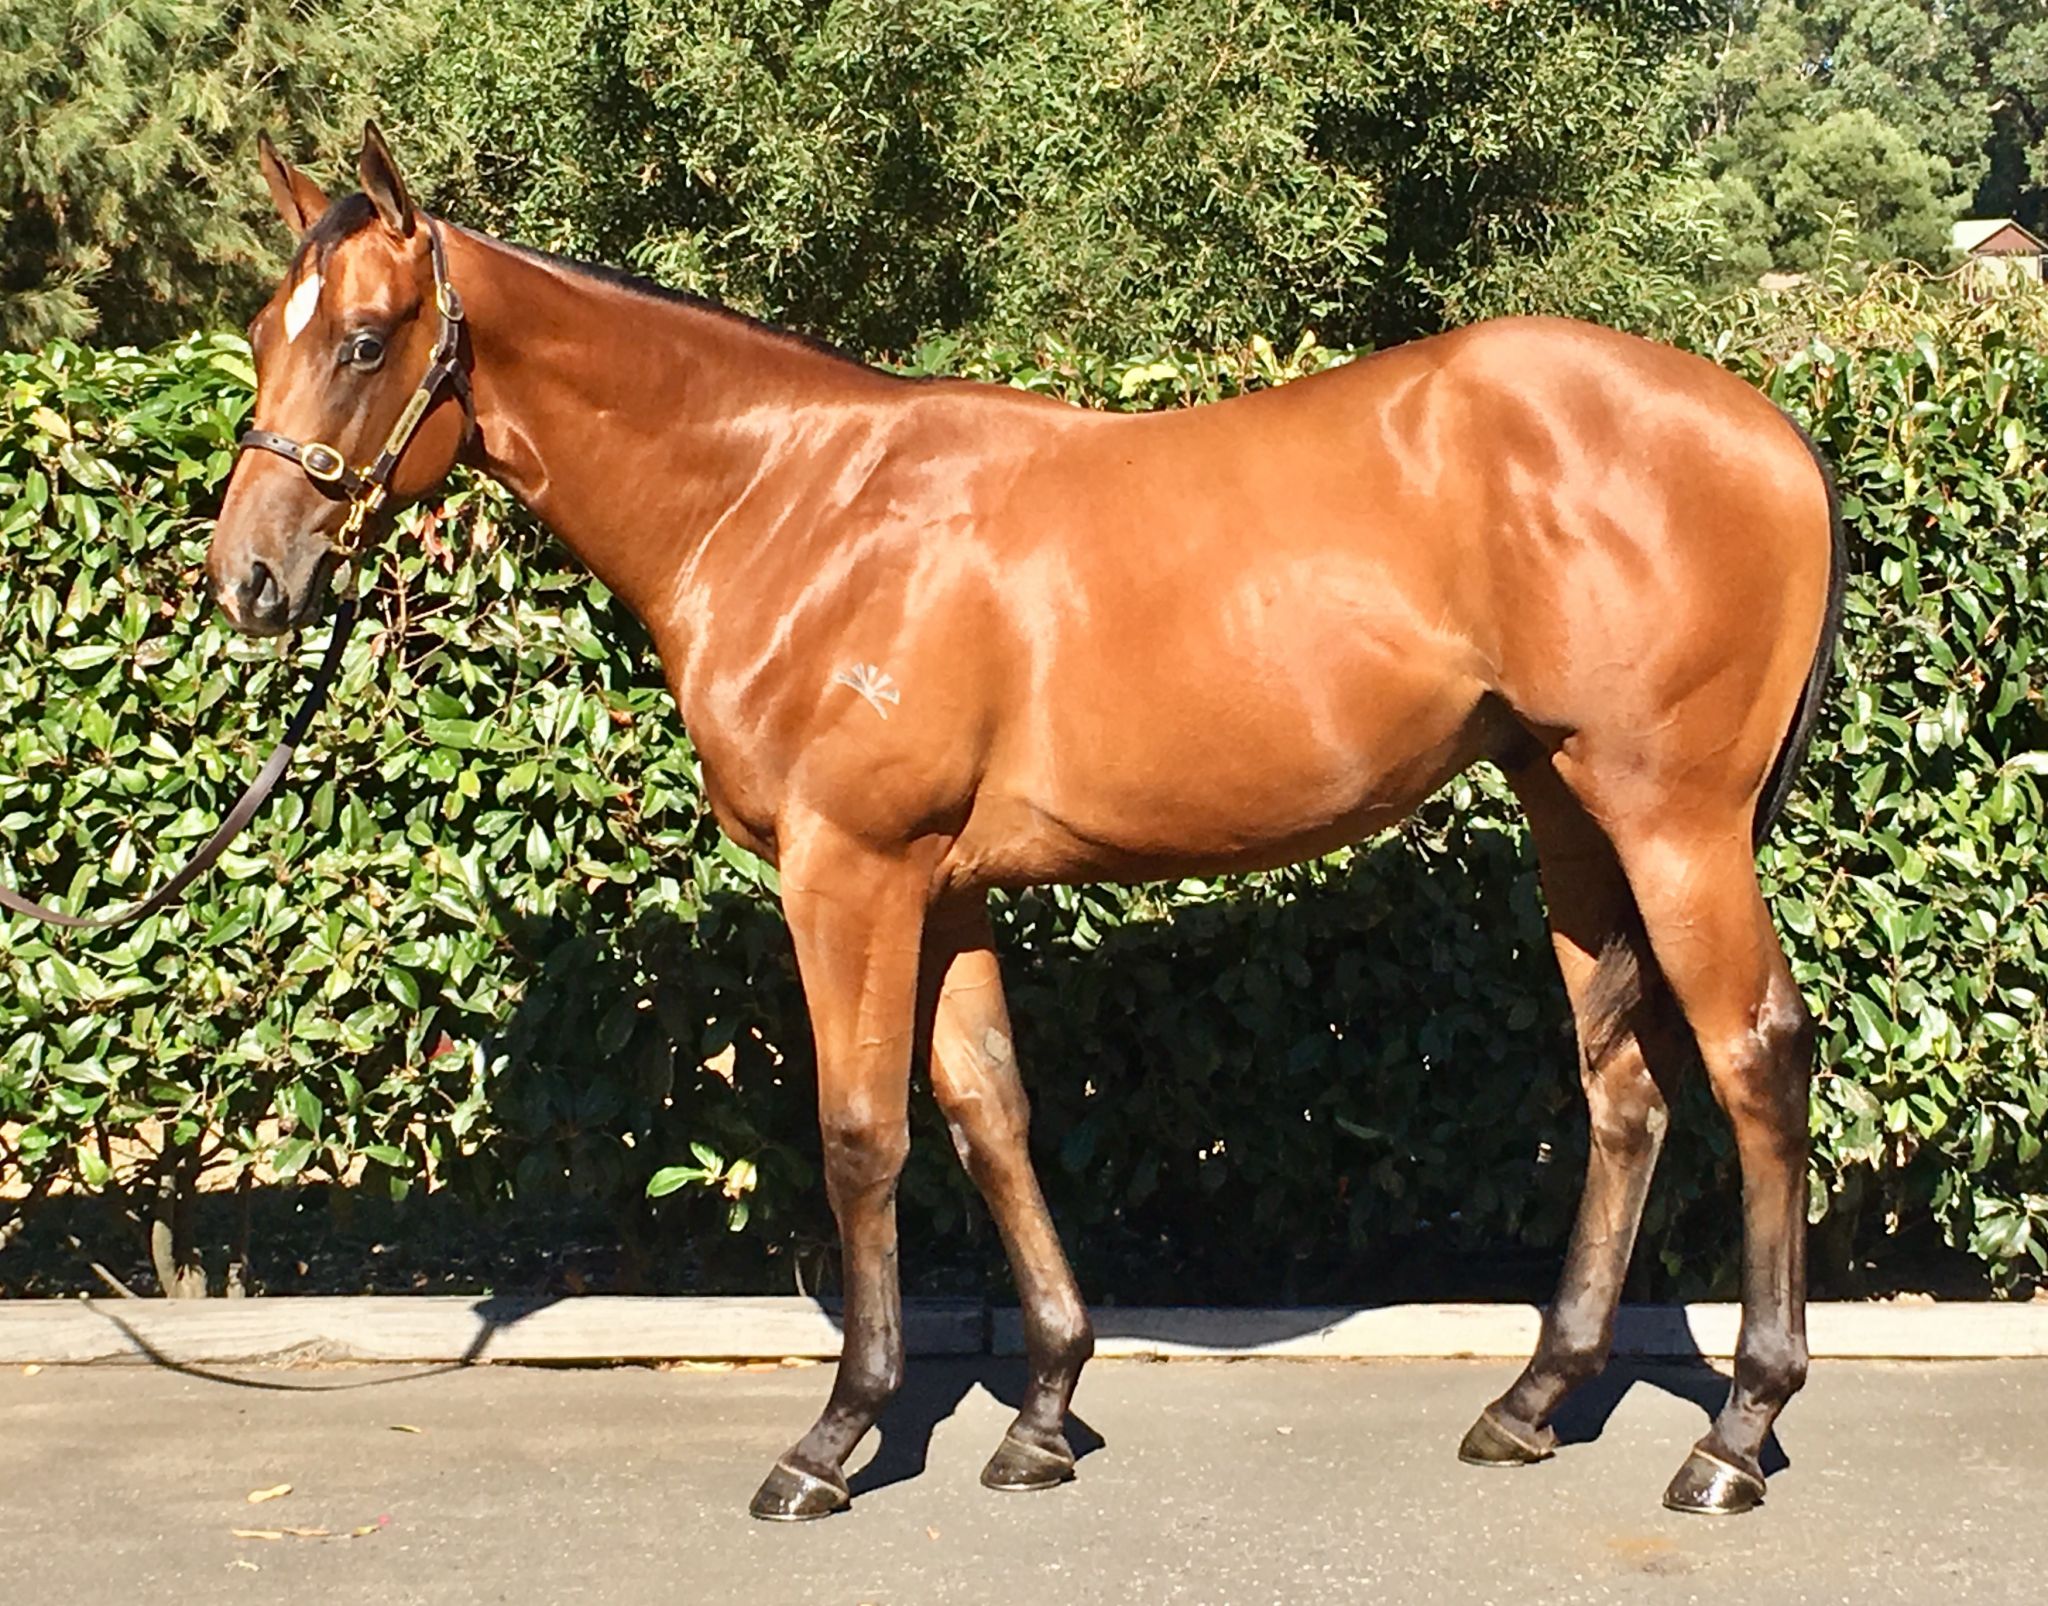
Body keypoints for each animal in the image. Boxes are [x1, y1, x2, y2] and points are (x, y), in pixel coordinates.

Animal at [205, 124, 1844, 1521]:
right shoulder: (943, 886)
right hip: (1571, 817)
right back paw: (1533, 1397)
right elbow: (989, 1108)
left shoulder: (849, 871)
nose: (248, 580)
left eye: (364, 341)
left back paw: (1737, 1432)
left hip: (1673, 823)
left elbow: (862, 1133)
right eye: (264, 336)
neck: (792, 505)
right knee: (1623, 1083)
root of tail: (1771, 430)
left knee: (1754, 1057)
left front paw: (835, 1434)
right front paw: (1045, 1406)